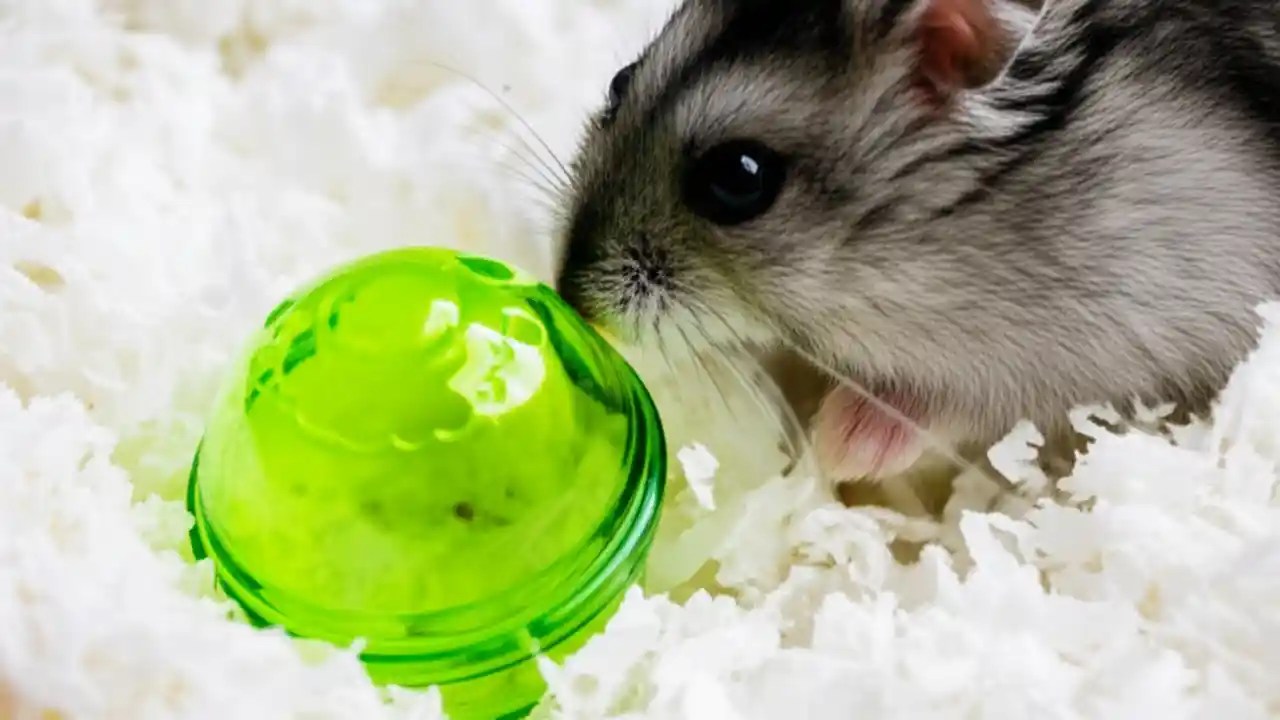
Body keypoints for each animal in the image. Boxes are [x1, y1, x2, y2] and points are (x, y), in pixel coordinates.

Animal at [554, 0, 1280, 484]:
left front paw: (838, 448)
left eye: (739, 177)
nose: (570, 295)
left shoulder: (1143, 333)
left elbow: (968, 399)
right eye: (620, 79)